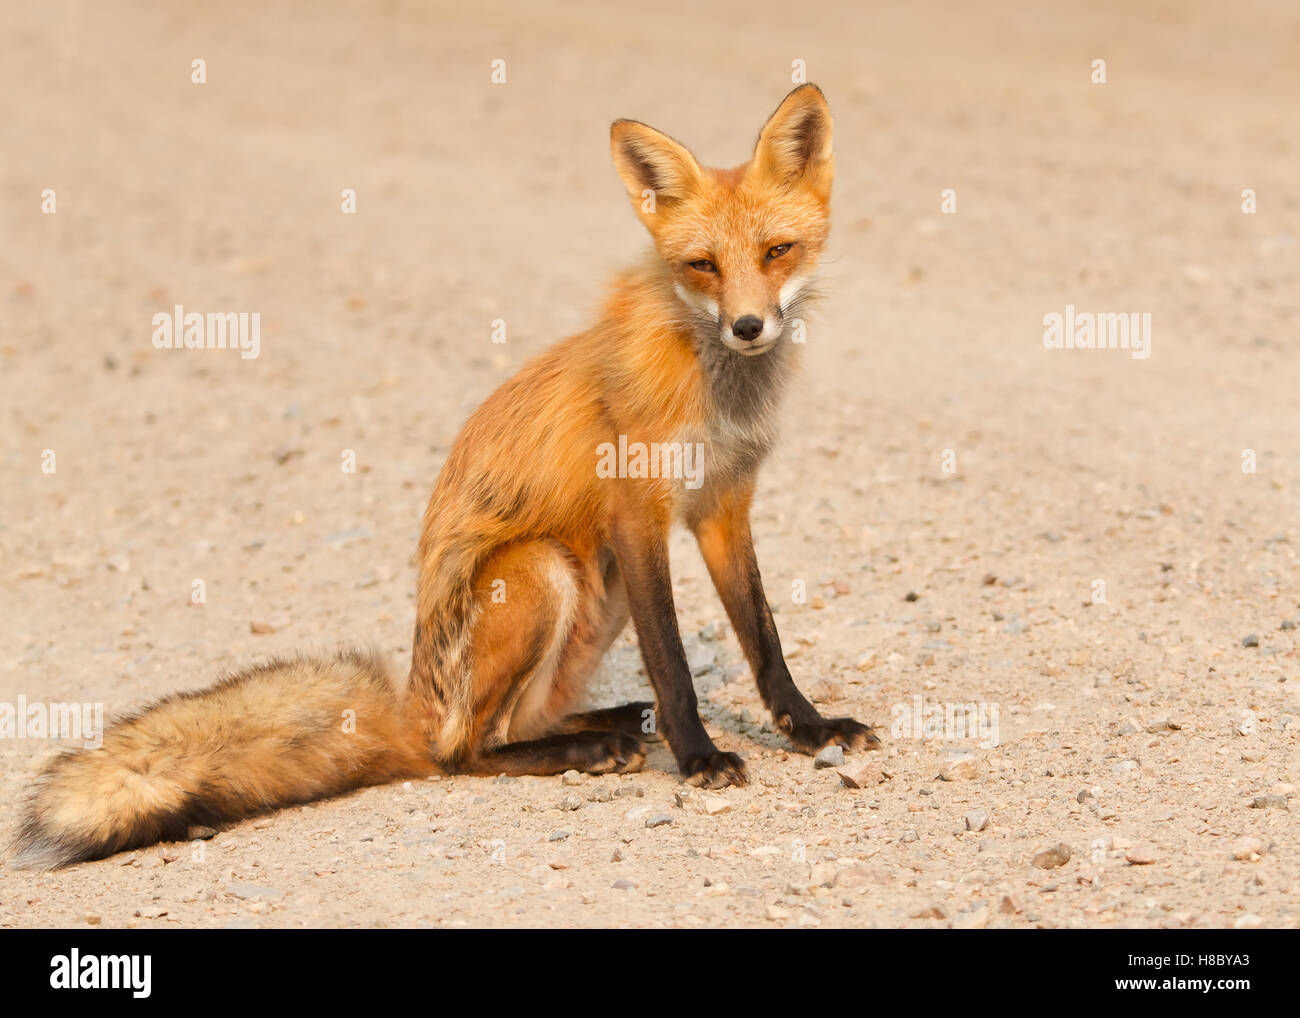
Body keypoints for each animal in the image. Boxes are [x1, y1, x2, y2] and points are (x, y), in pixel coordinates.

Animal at [13, 83, 879, 869]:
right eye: (701, 266)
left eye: (777, 252)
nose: (748, 326)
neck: (717, 392)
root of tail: (411, 708)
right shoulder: (638, 513)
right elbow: (673, 663)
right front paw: (698, 754)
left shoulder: (724, 506)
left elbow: (764, 639)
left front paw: (809, 729)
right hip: (544, 569)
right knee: (462, 751)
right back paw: (589, 748)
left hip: (592, 596)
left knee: (516, 723)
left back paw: (606, 726)